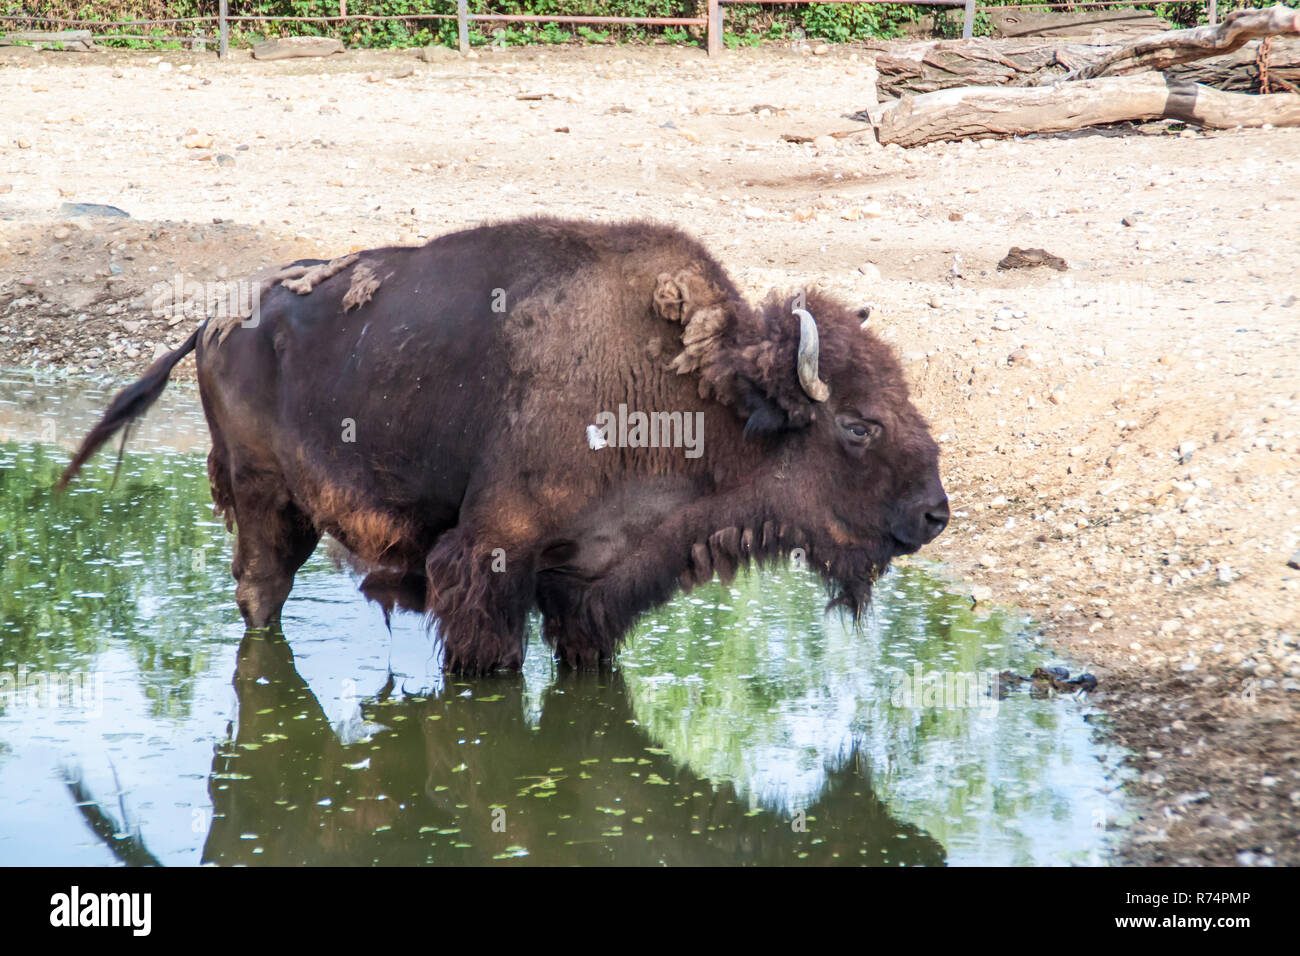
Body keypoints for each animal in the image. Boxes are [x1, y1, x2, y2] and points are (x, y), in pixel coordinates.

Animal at [60, 217, 949, 673]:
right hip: (265, 498)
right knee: (260, 592)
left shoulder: (586, 585)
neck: (691, 396)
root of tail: (213, 321)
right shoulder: (490, 559)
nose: (935, 514)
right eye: (858, 423)